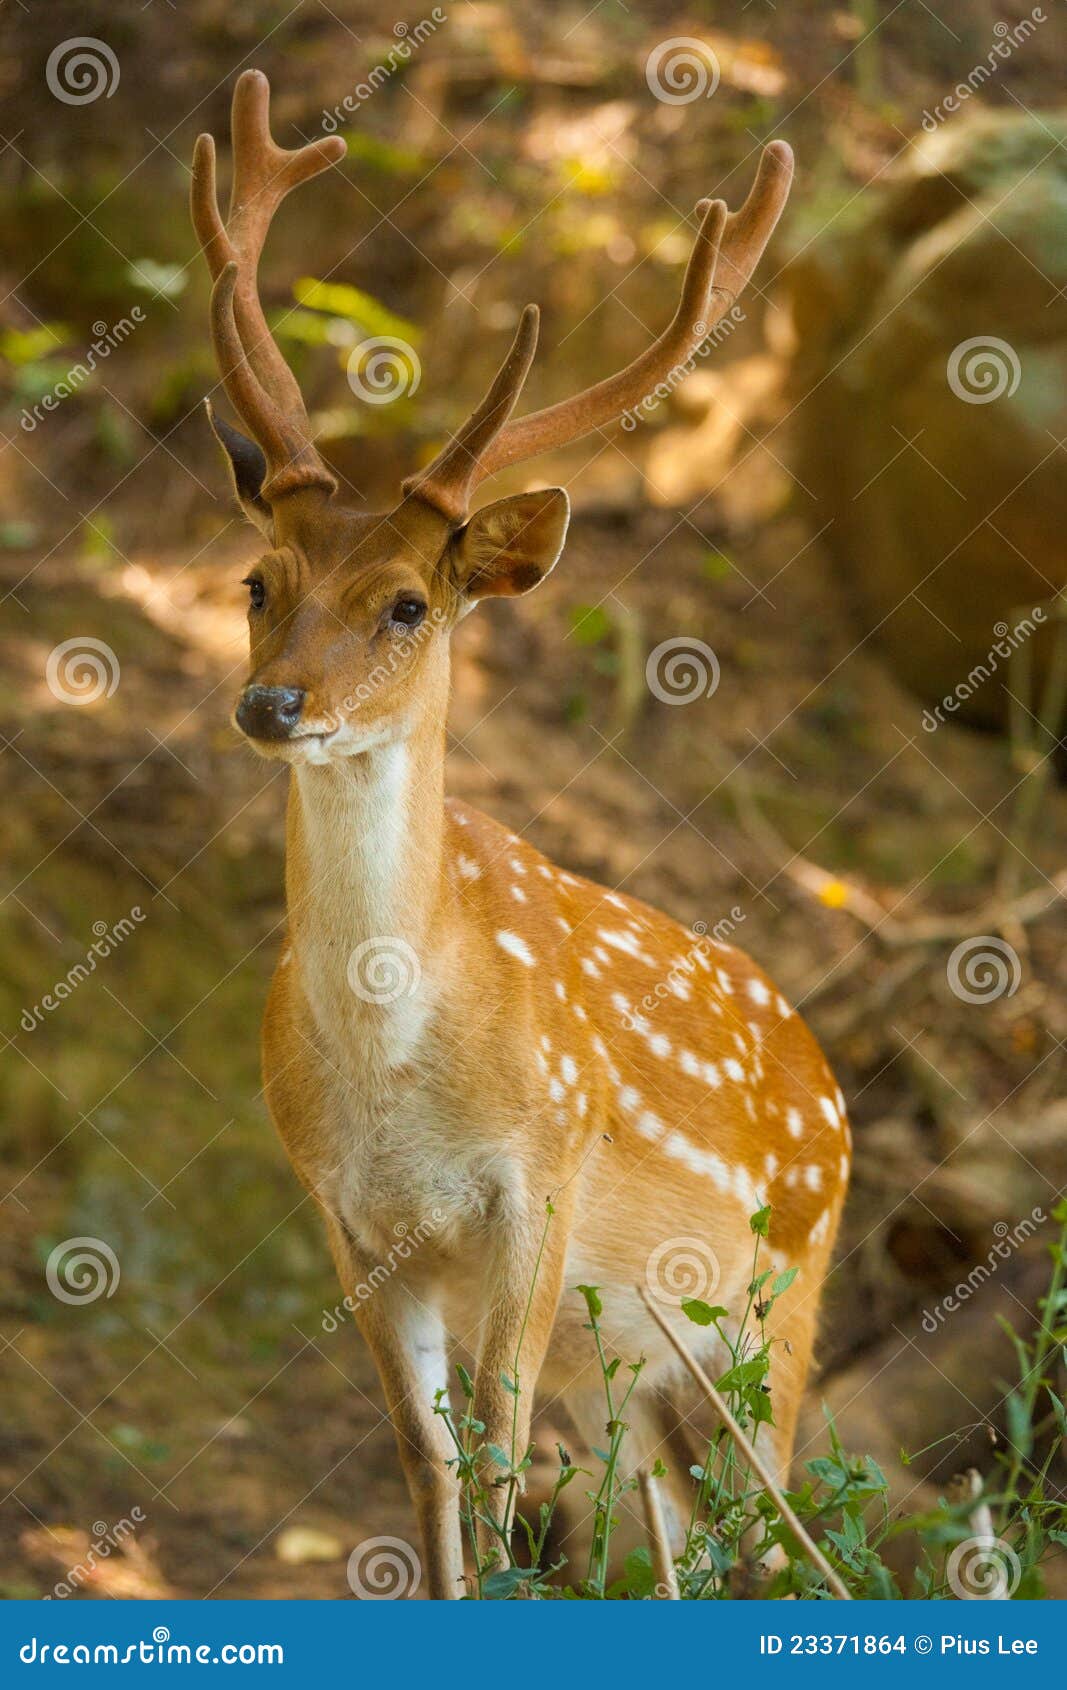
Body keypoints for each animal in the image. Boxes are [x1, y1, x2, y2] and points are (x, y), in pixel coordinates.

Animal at [191, 70, 851, 1598]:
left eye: (406, 603)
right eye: (259, 579)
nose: (270, 703)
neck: (397, 1072)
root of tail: (831, 1082)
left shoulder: (537, 1179)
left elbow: (492, 1468)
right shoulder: (348, 1216)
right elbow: (429, 1471)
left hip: (779, 1299)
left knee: (771, 1533)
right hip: (649, 1364)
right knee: (679, 1540)